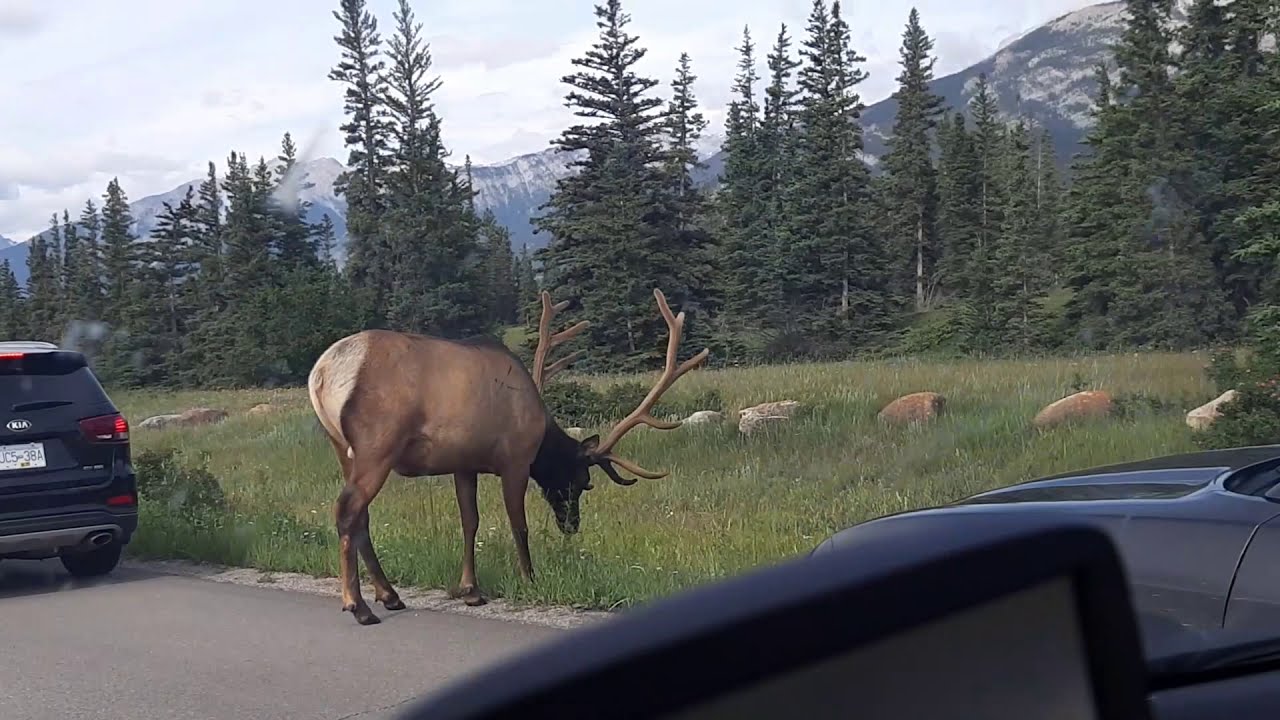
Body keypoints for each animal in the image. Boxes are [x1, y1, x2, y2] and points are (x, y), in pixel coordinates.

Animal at [306, 287, 710, 625]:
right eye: (583, 481)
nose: (571, 525)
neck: (540, 430)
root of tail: (321, 374)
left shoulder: (464, 464)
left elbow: (470, 521)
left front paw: (471, 590)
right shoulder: (515, 459)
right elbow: (519, 523)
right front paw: (530, 577)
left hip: (343, 448)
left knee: (361, 517)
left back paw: (389, 595)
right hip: (377, 444)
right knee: (348, 510)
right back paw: (358, 606)